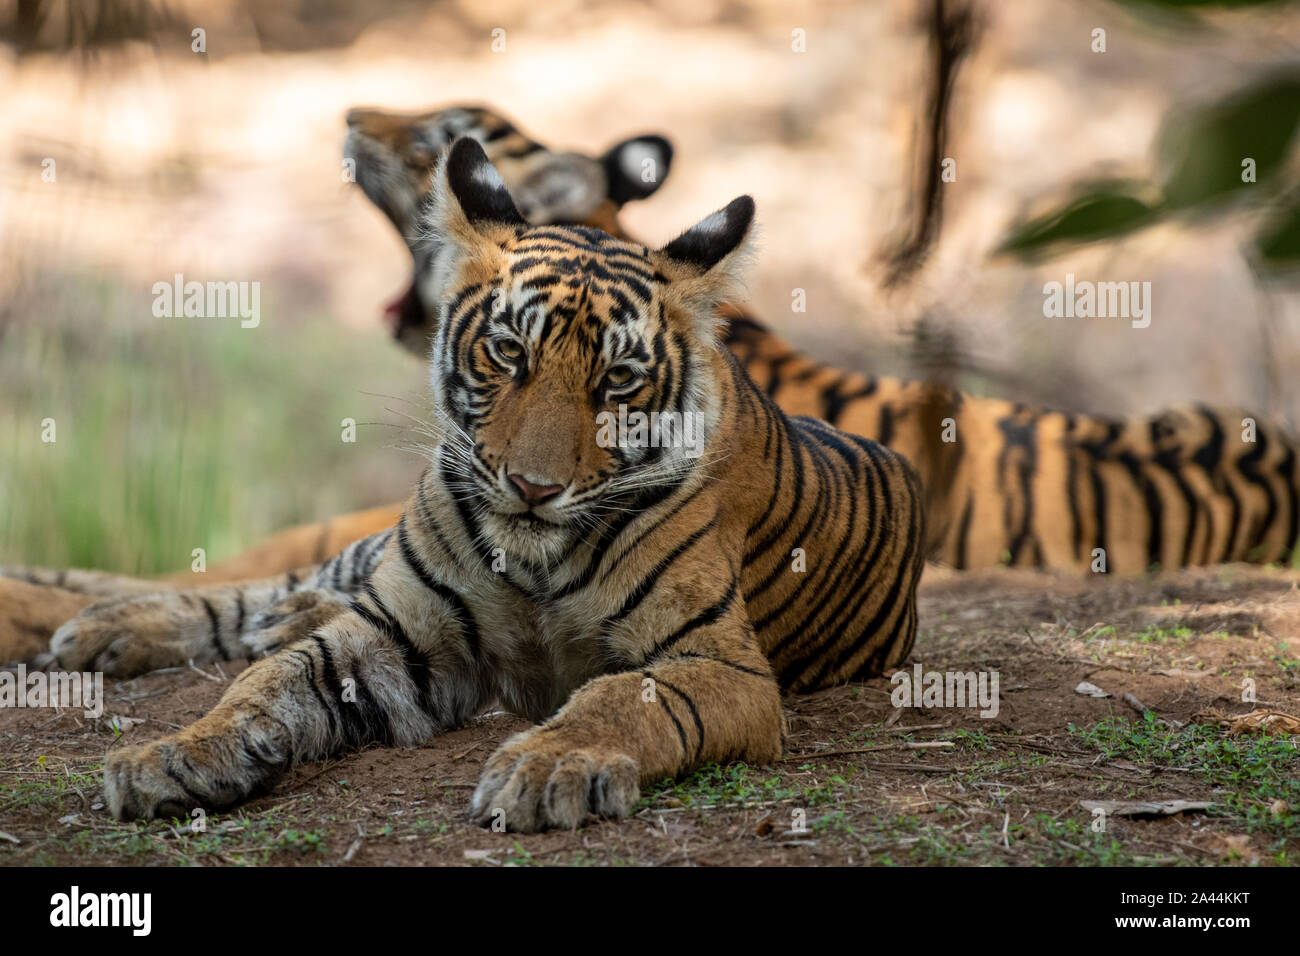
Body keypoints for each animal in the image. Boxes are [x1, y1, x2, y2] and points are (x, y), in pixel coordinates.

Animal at [72, 137, 924, 828]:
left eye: (619, 381)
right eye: (510, 351)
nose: (534, 487)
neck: (535, 561)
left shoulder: (718, 663)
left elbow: (620, 696)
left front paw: (549, 765)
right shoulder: (398, 634)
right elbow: (268, 681)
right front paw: (172, 755)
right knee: (276, 589)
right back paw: (112, 627)